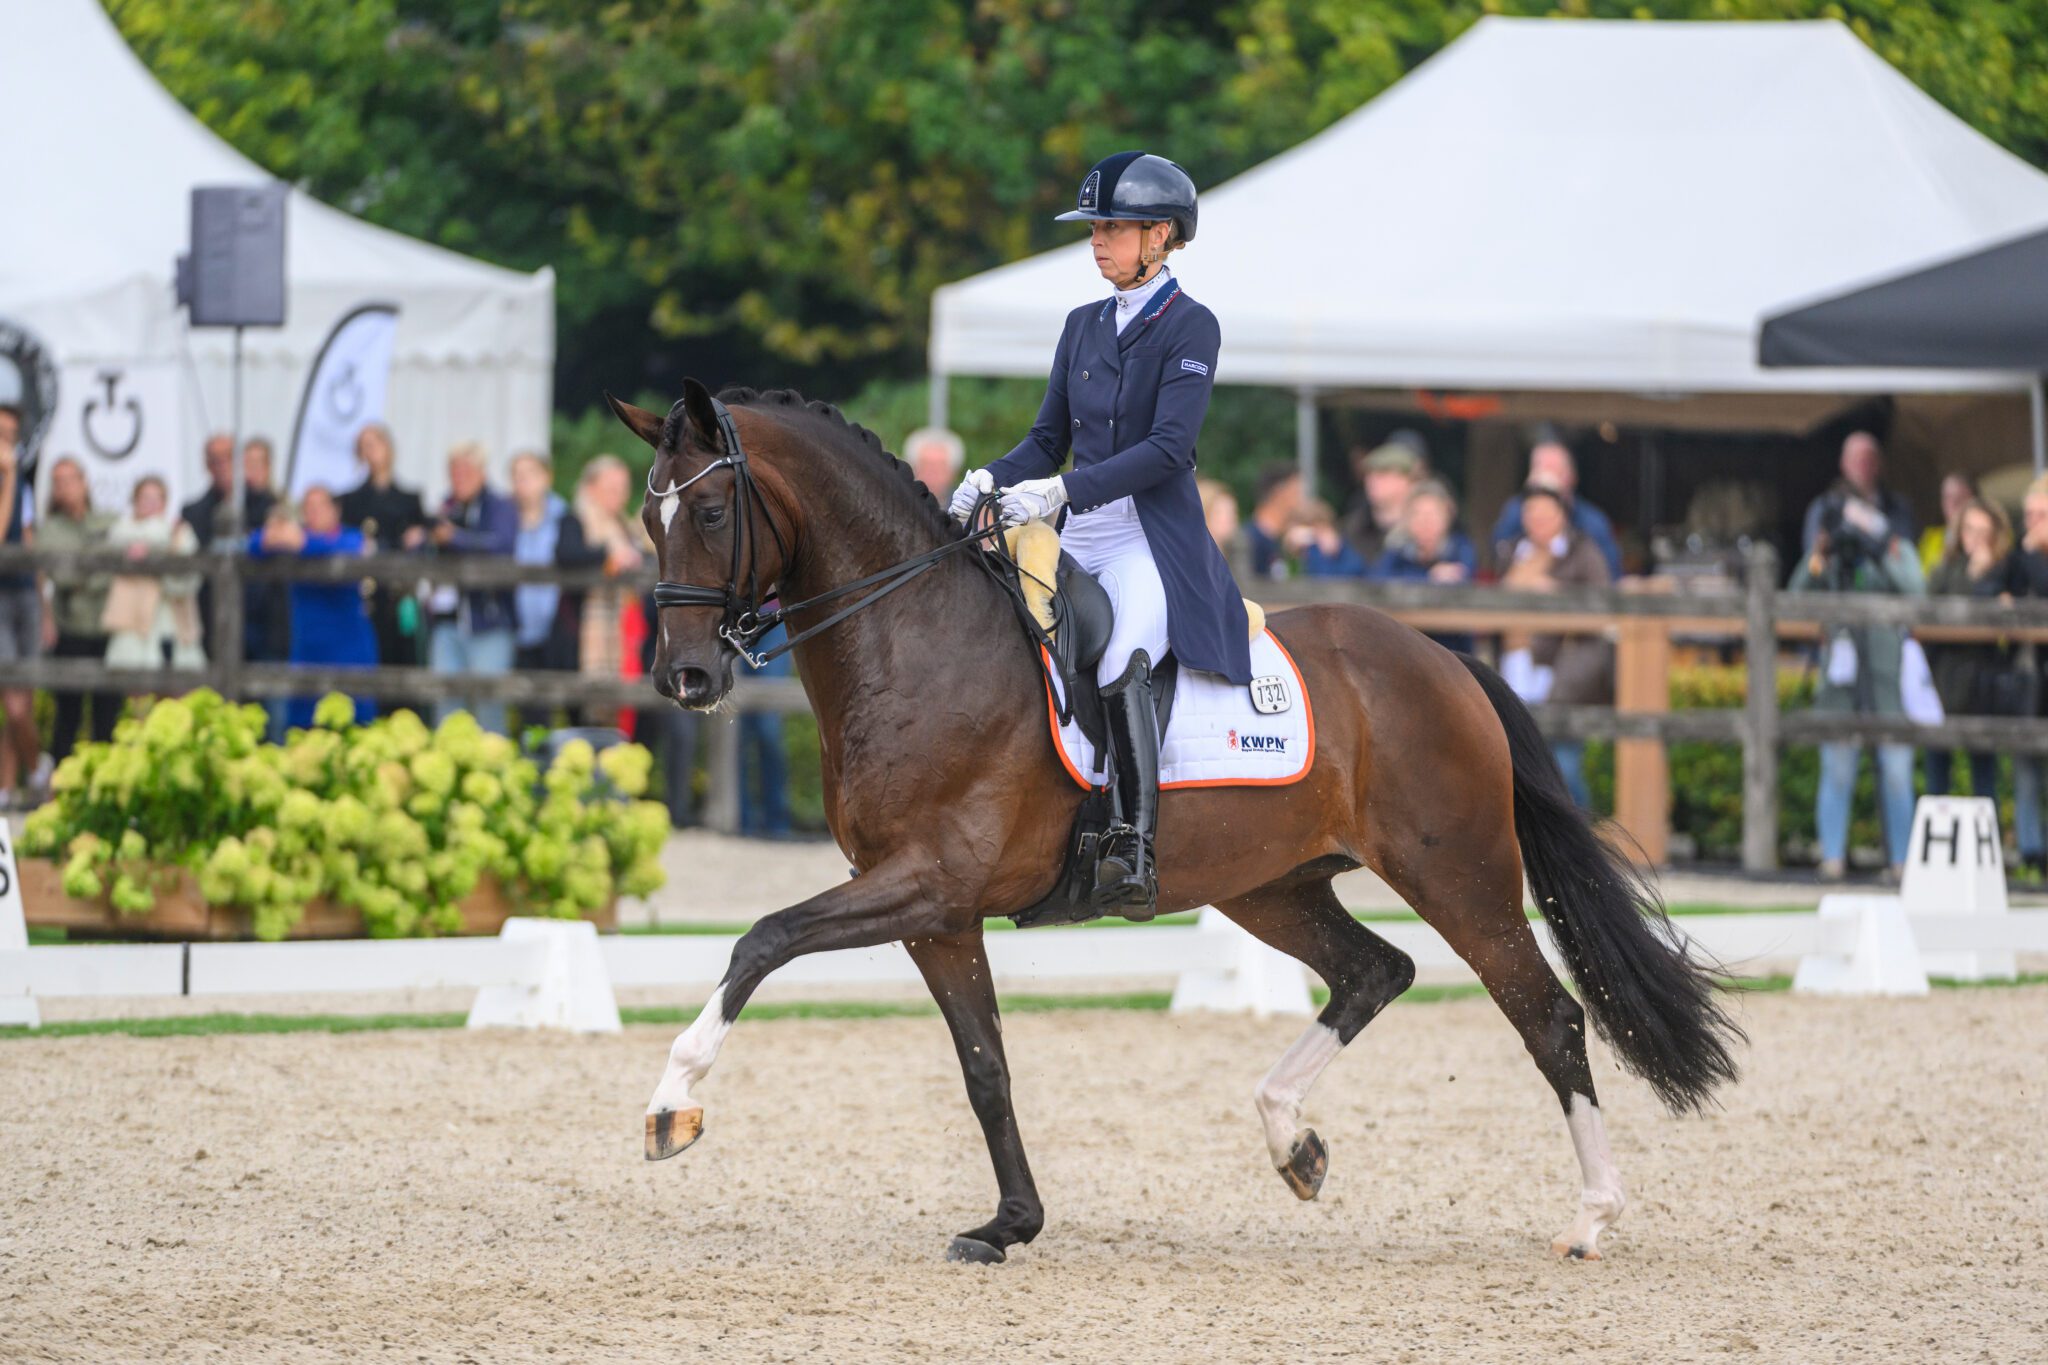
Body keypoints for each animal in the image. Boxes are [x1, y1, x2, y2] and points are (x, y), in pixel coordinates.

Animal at [610, 379, 1742, 1264]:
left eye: (710, 513)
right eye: (647, 521)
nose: (685, 678)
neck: (913, 637)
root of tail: (1447, 659)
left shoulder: (927, 880)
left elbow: (762, 941)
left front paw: (671, 1105)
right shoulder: (939, 911)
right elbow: (985, 1068)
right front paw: (1010, 1223)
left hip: (1458, 873)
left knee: (1546, 1017)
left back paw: (1591, 1218)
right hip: (1271, 886)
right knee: (1375, 971)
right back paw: (1292, 1142)